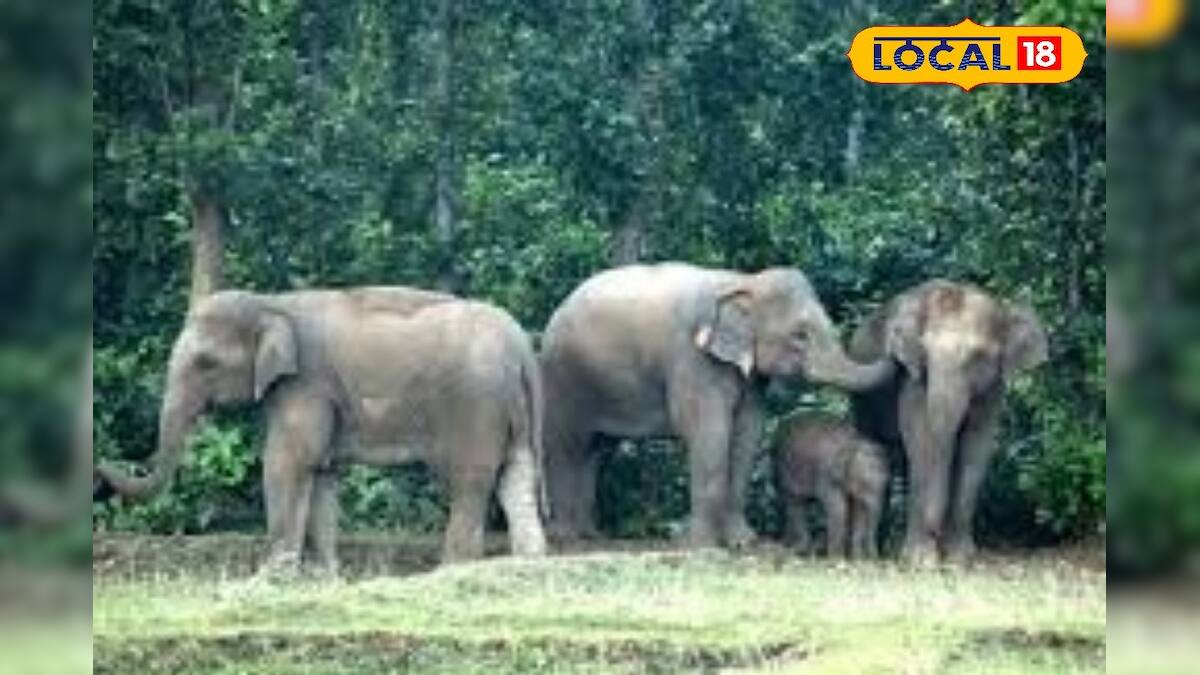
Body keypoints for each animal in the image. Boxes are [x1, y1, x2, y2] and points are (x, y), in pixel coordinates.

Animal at [94, 288, 548, 572]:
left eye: (206, 362)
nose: (99, 473)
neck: (272, 302)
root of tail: (522, 346)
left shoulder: (306, 385)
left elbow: (287, 463)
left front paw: (269, 577)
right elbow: (323, 473)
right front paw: (325, 577)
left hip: (475, 406)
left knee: (470, 482)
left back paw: (451, 570)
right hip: (511, 411)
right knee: (516, 477)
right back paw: (528, 565)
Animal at [774, 413, 889, 559]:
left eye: (886, 482)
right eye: (865, 483)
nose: (876, 557)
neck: (853, 443)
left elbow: (859, 511)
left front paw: (856, 558)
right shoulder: (826, 475)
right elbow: (839, 508)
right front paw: (836, 558)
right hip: (783, 466)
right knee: (794, 501)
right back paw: (800, 547)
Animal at [849, 280, 1048, 565]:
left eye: (978, 356)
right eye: (925, 353)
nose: (935, 530)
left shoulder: (993, 389)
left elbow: (976, 447)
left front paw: (959, 559)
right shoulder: (913, 377)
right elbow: (921, 440)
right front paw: (920, 561)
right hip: (861, 403)